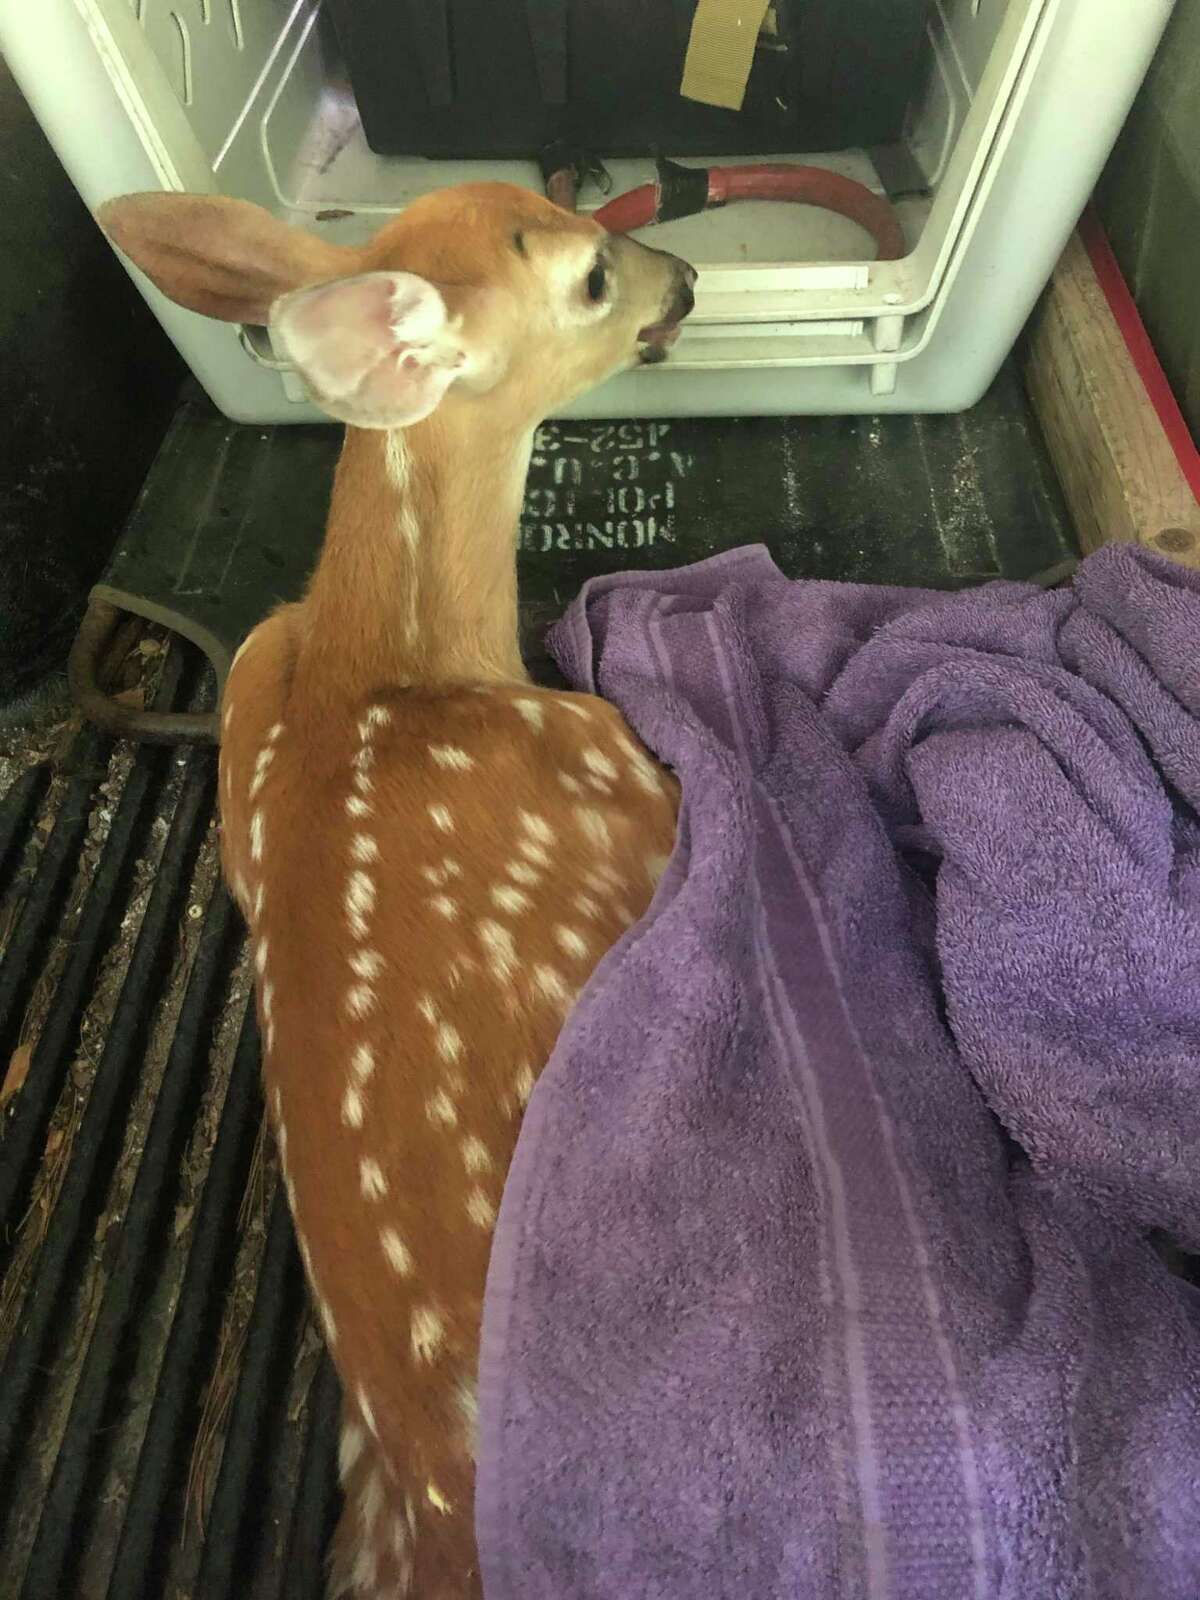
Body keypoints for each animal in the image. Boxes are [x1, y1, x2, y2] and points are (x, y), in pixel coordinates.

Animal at [97, 182, 694, 1597]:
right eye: (592, 278)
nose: (688, 280)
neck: (386, 661)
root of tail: (439, 1505)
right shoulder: (613, 772)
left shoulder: (248, 682)